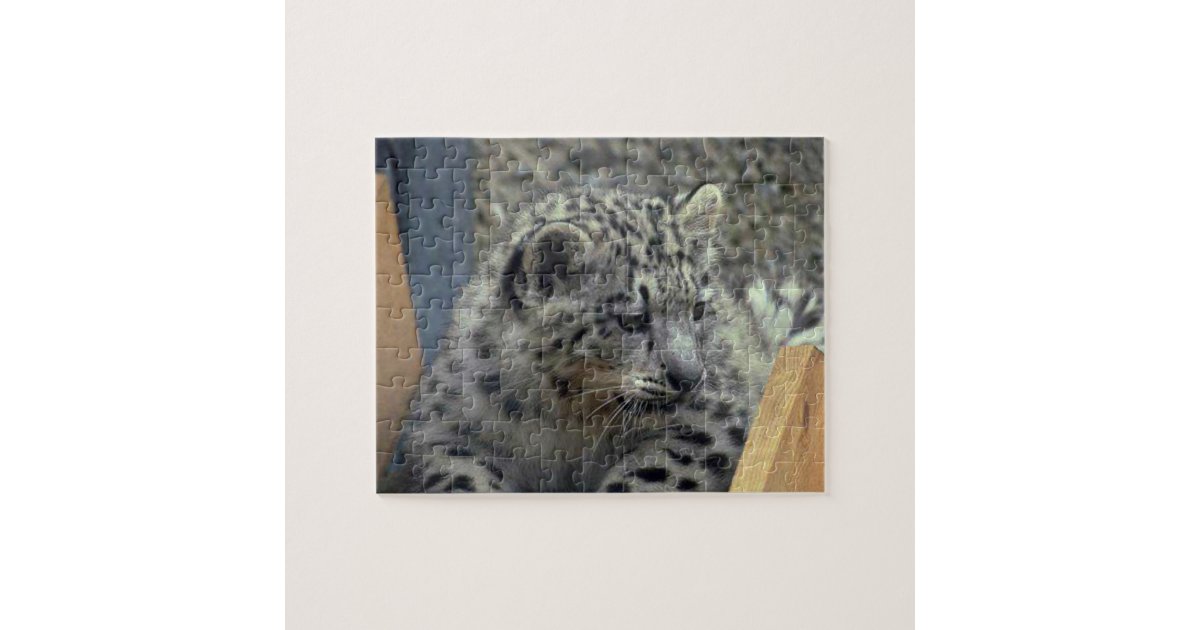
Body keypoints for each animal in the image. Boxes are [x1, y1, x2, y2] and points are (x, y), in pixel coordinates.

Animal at [379, 183, 817, 492]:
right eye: (632, 320)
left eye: (697, 309)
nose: (690, 378)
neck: (568, 415)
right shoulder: (447, 429)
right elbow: (463, 475)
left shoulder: (707, 421)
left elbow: (656, 474)